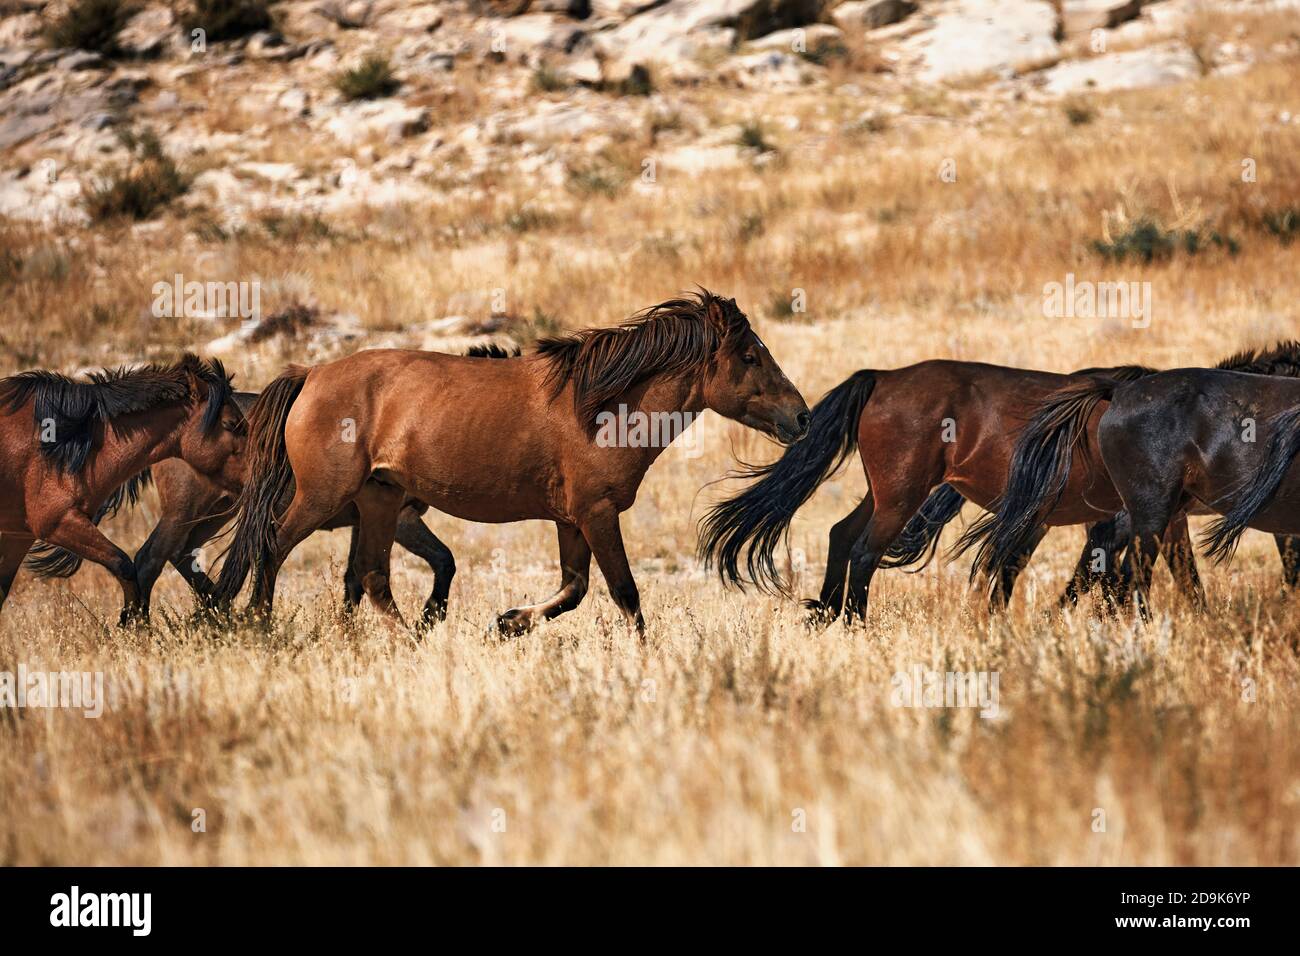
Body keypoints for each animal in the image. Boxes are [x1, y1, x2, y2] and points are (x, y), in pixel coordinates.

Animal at [212, 291, 810, 635]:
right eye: (749, 356)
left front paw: (509, 623)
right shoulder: (596, 514)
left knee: (372, 577)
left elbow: (573, 590)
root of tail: (311, 374)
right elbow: (625, 593)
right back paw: (259, 625)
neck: (601, 407)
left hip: (380, 500)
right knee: (273, 544)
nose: (802, 417)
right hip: (324, 496)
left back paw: (410, 639)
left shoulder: (572, 520)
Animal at [696, 360, 1166, 625]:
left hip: (885, 493)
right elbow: (1103, 571)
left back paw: (827, 613)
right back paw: (854, 623)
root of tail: (883, 378)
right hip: (901, 495)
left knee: (842, 534)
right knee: (865, 550)